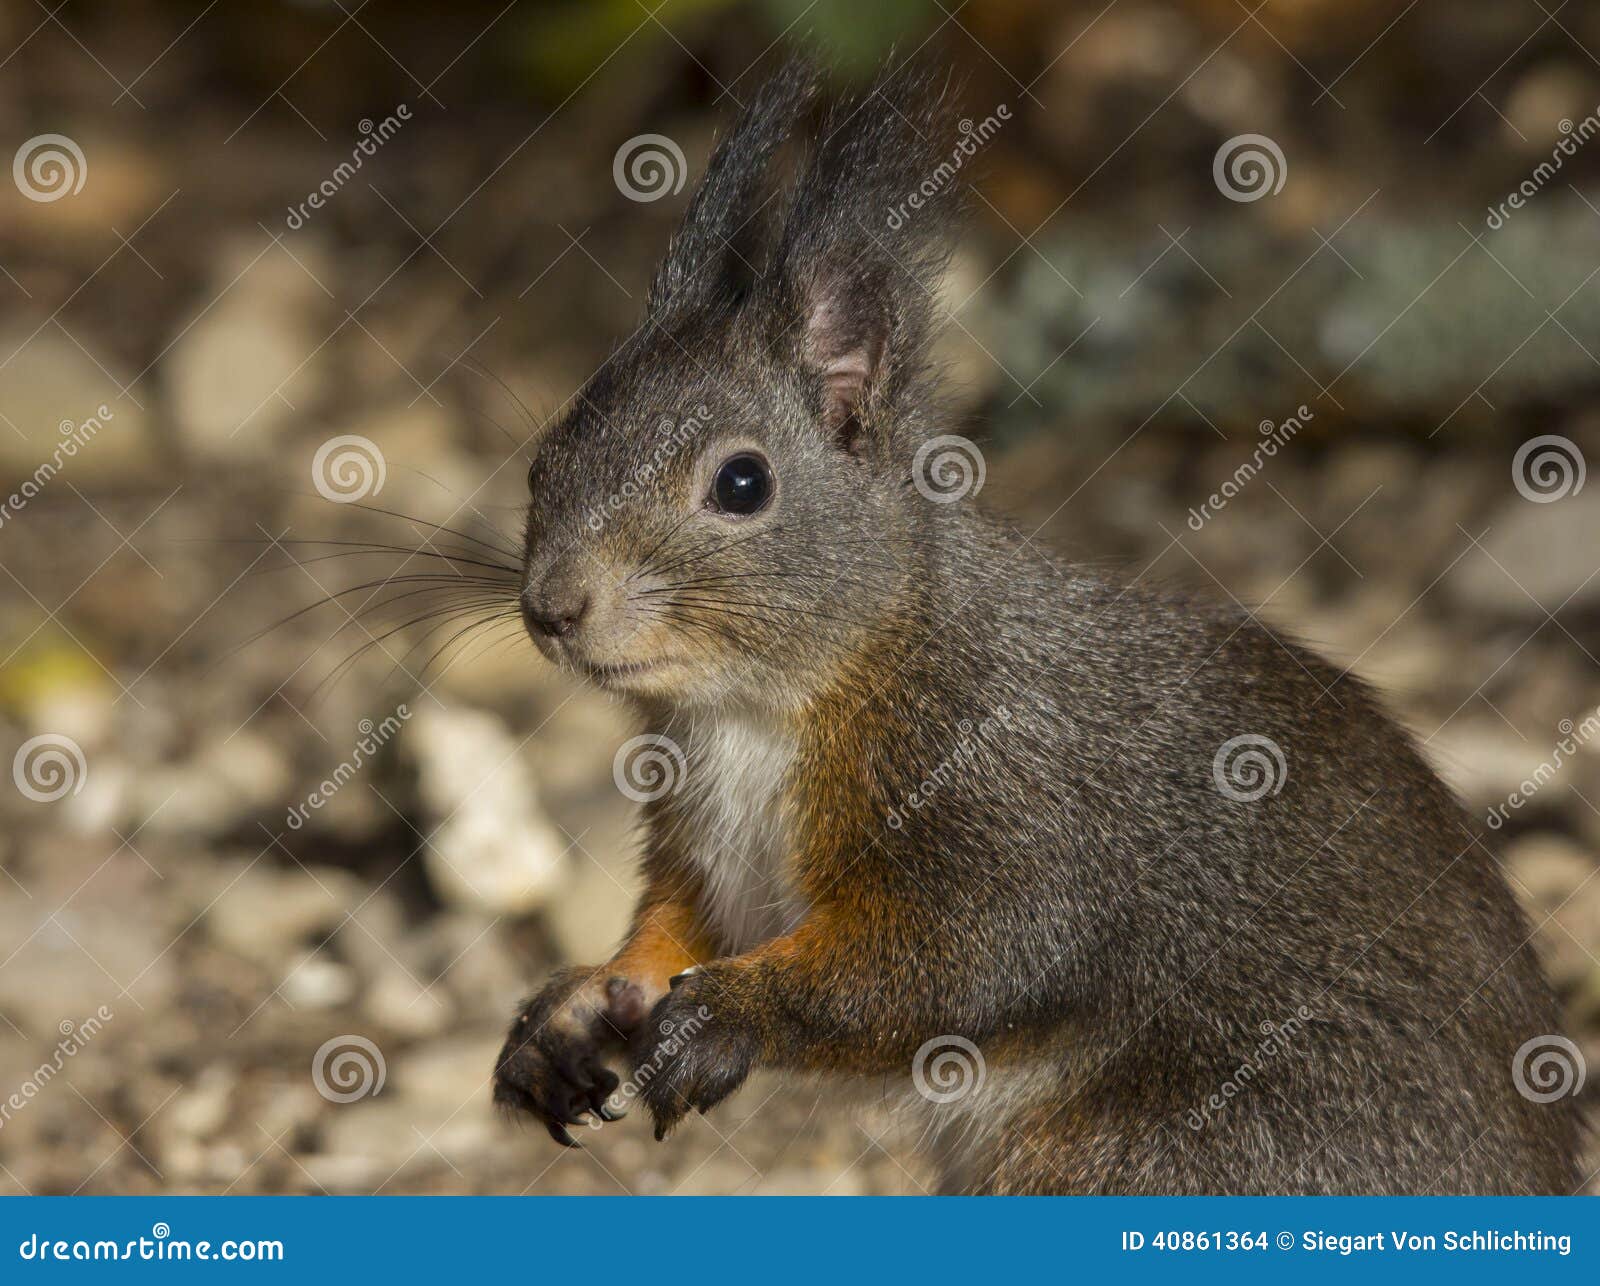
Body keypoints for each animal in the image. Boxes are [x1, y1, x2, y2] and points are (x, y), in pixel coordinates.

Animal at [492, 60, 1586, 1195]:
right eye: (544, 459)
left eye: (742, 483)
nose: (552, 607)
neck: (758, 708)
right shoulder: (712, 846)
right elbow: (678, 928)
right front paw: (576, 1006)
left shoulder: (1011, 799)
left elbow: (973, 950)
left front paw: (729, 1014)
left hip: (1172, 1157)